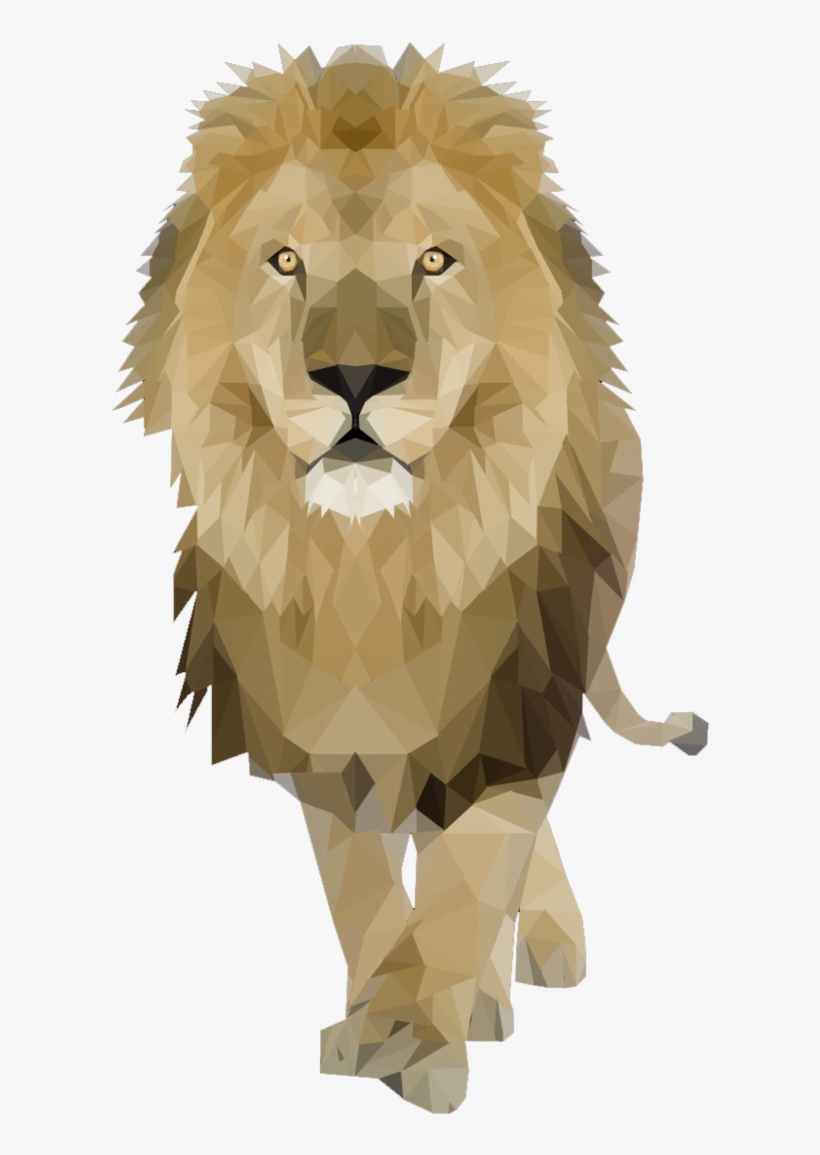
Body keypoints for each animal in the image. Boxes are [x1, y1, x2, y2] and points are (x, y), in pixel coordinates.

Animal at [120, 43, 706, 1114]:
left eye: (435, 261)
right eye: (285, 261)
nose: (355, 378)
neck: (373, 567)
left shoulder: (508, 698)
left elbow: (469, 876)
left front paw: (426, 1039)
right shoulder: (315, 738)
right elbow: (362, 895)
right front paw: (375, 1017)